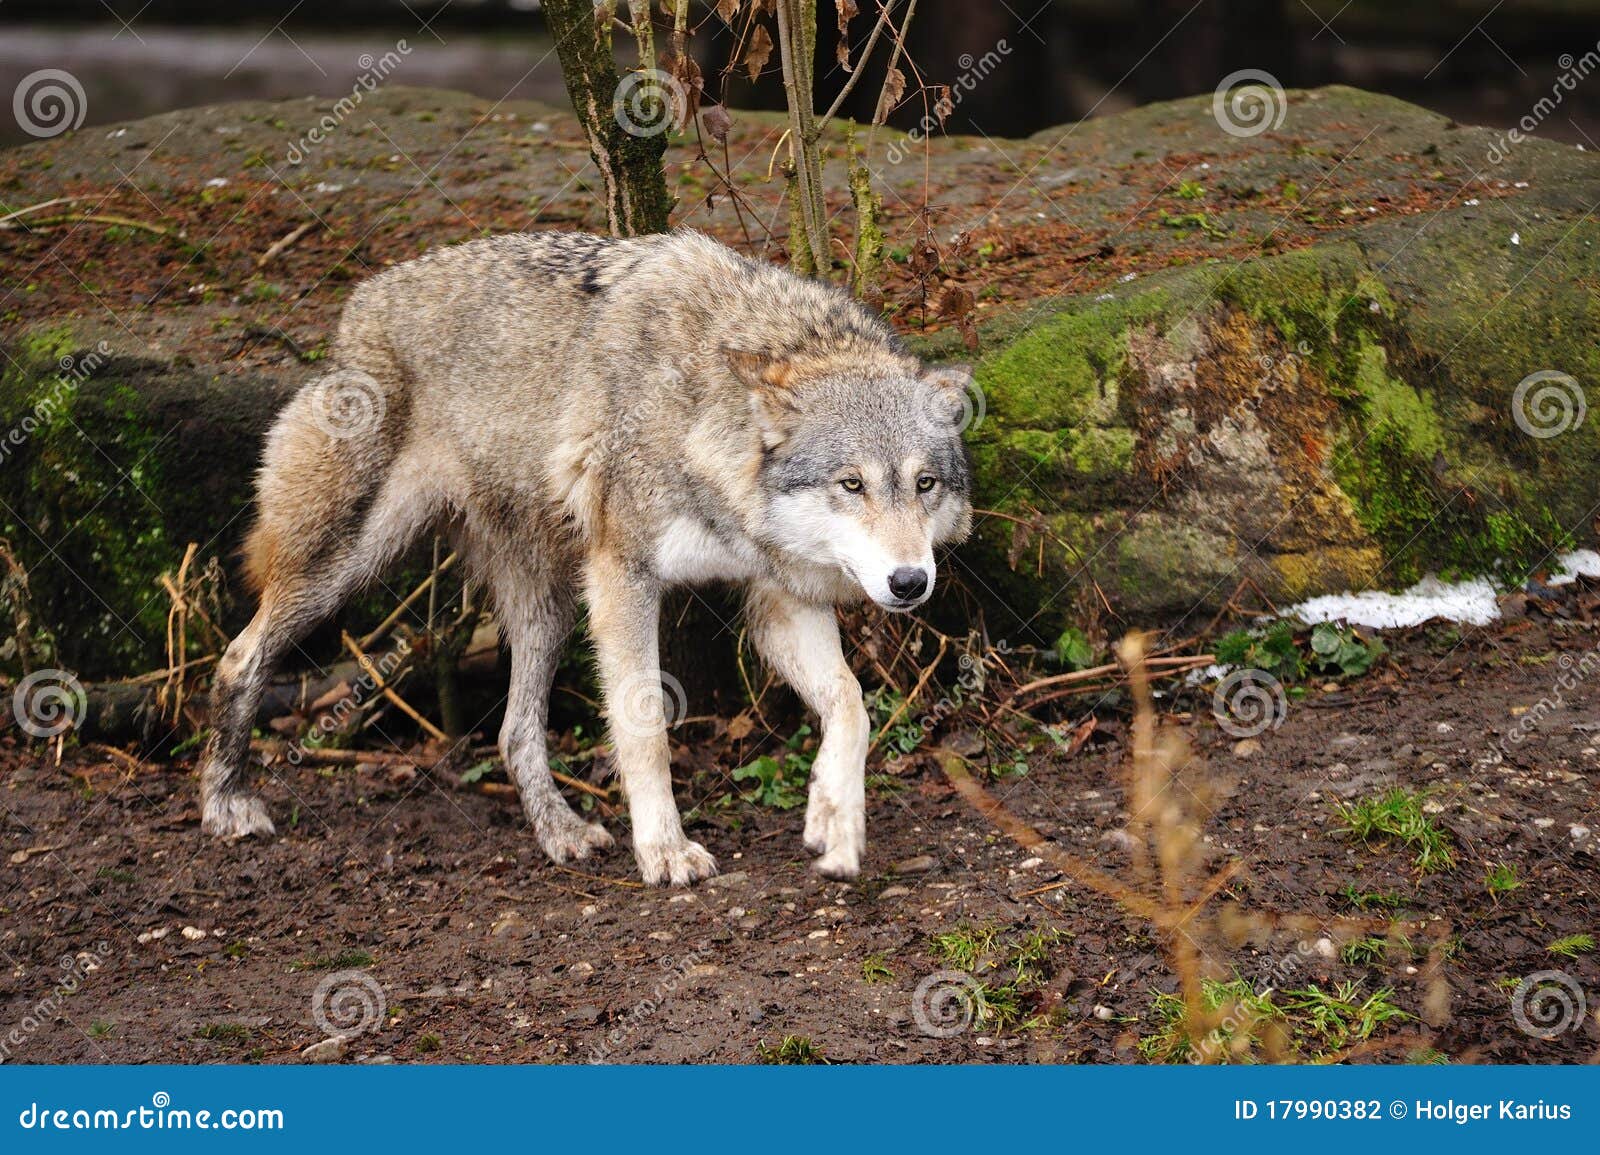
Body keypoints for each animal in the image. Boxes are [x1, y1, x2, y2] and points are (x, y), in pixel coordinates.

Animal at [199, 229, 974, 885]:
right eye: (852, 484)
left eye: (924, 484)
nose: (910, 582)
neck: (705, 419)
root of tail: (358, 306)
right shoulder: (622, 578)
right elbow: (645, 725)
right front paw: (664, 849)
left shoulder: (781, 600)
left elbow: (853, 706)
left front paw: (834, 822)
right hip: (344, 566)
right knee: (239, 657)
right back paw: (224, 803)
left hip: (547, 609)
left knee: (514, 732)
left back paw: (560, 833)